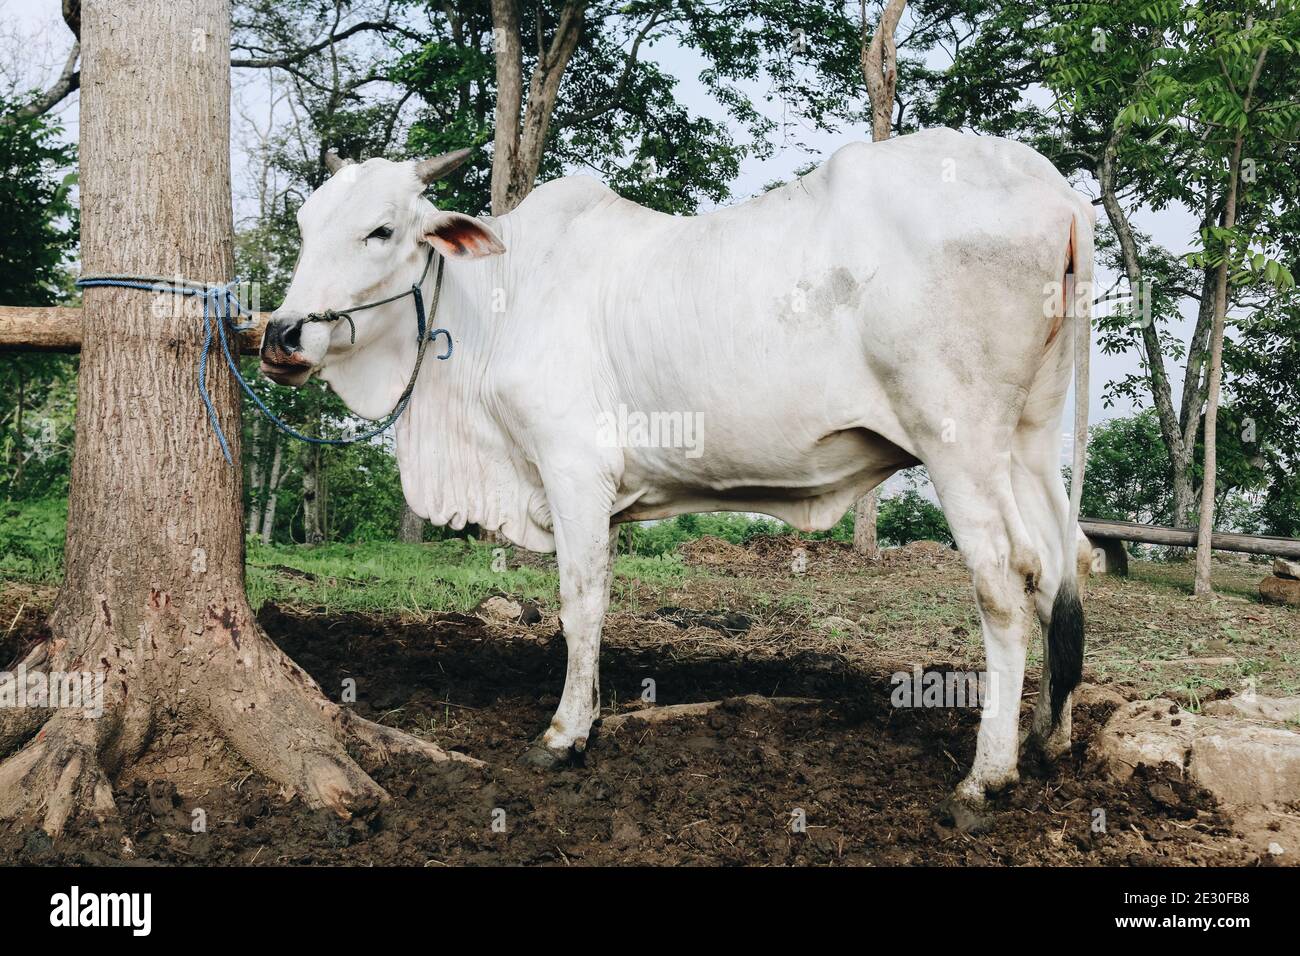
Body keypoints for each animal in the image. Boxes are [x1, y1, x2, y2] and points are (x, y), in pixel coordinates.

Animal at [259, 128, 1094, 819]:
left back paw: (986, 777)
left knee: (1005, 579)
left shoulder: (572, 466)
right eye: (304, 225)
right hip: (1026, 438)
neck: (496, 304)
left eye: (381, 229)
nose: (282, 336)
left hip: (958, 439)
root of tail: (1055, 189)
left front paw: (565, 734)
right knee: (1059, 569)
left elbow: (580, 603)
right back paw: (1048, 737)